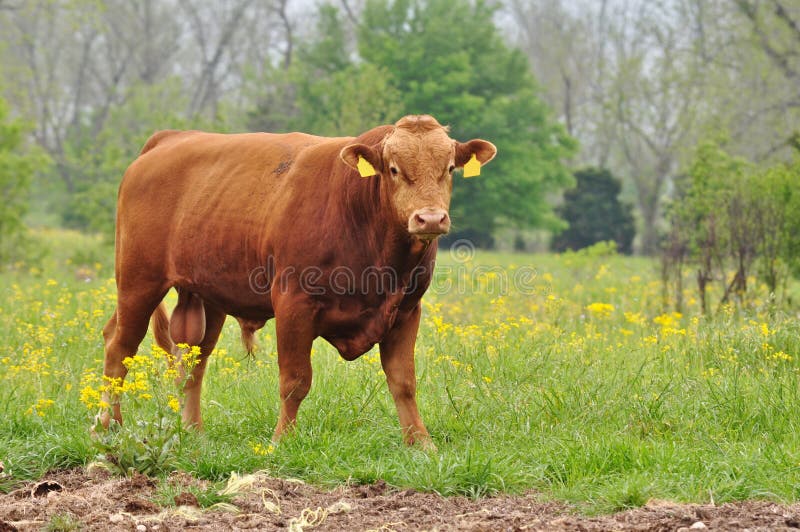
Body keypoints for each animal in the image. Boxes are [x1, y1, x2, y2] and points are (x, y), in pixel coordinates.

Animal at [99, 115, 496, 448]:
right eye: (395, 169)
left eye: (449, 168)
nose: (430, 219)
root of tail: (170, 138)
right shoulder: (294, 304)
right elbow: (295, 381)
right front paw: (281, 441)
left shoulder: (406, 310)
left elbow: (404, 382)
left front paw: (420, 443)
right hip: (138, 282)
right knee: (119, 348)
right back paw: (108, 425)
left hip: (206, 296)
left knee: (194, 360)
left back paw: (193, 432)